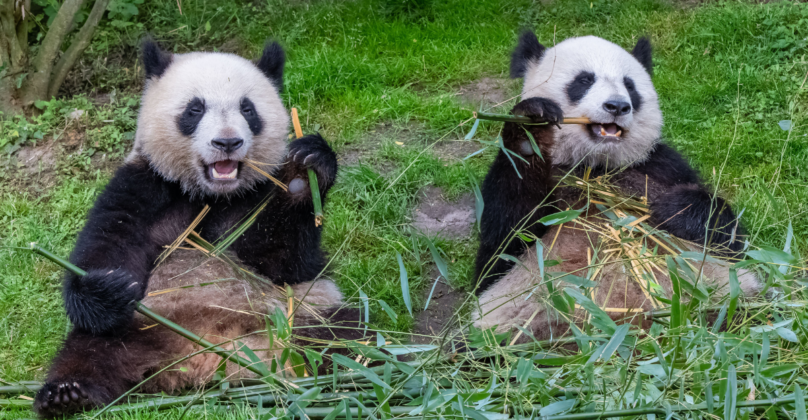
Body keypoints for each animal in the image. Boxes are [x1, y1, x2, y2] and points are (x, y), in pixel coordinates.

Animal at [33, 40, 361, 418]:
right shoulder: (141, 187)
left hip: (300, 313)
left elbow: (286, 262)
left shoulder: (259, 195)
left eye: (247, 108)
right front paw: (109, 287)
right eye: (195, 109)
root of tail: (208, 359)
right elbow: (104, 247)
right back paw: (68, 395)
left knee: (343, 336)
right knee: (91, 348)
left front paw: (304, 174)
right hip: (139, 324)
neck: (210, 194)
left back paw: (351, 375)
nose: (227, 143)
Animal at [471, 31, 761, 343]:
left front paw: (673, 209)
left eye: (630, 85)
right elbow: (503, 240)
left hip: (731, 302)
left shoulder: (660, 165)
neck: (595, 165)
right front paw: (531, 128)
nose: (617, 106)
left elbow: (728, 239)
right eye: (584, 80)